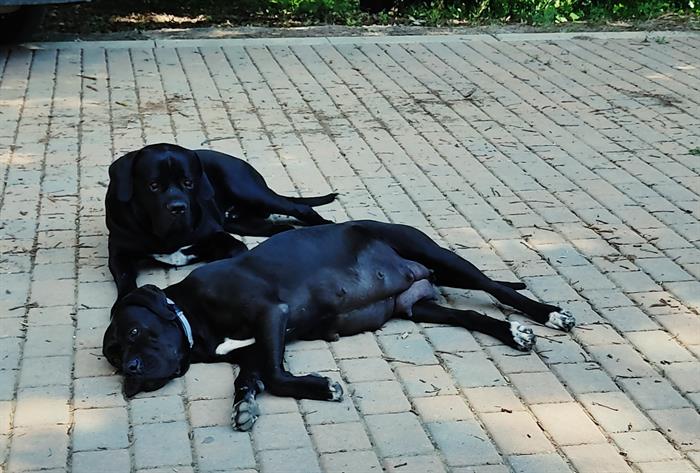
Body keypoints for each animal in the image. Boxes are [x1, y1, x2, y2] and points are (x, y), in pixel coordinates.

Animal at [104, 219, 576, 430]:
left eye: (133, 333)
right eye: (113, 358)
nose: (131, 374)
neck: (189, 315)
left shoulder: (271, 316)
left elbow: (277, 376)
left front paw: (321, 387)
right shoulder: (254, 348)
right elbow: (250, 379)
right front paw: (243, 406)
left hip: (440, 257)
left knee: (498, 290)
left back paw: (547, 315)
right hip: (419, 308)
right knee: (472, 315)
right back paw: (512, 334)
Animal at [105, 144, 338, 296]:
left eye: (188, 182)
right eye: (153, 185)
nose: (178, 208)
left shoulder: (221, 239)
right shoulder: (119, 254)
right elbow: (125, 277)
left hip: (248, 190)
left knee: (300, 208)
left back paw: (325, 226)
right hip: (243, 222)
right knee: (280, 226)